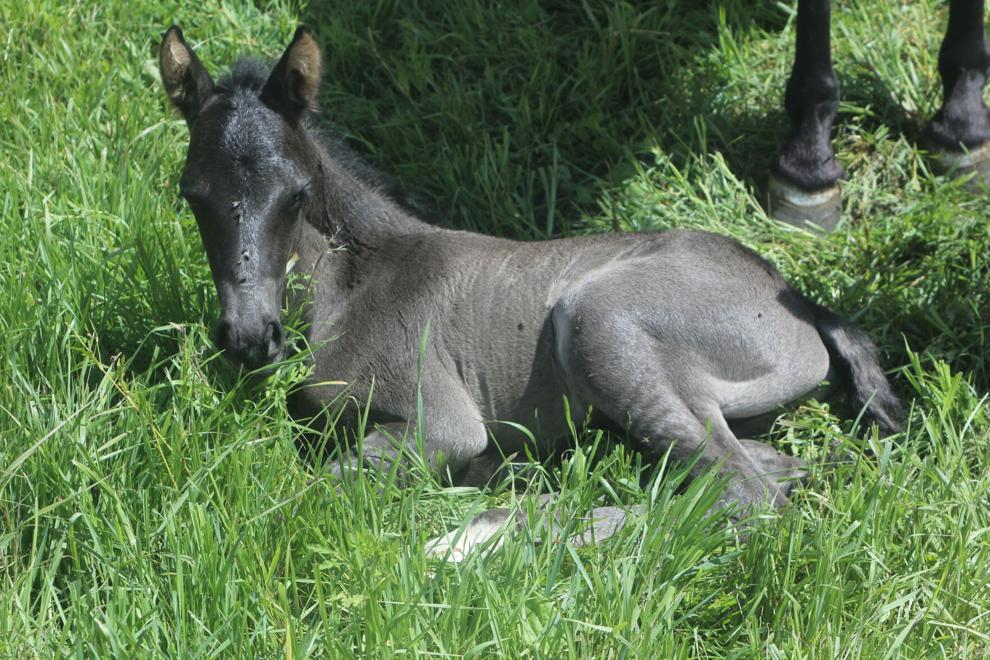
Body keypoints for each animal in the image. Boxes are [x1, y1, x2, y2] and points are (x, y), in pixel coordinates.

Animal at [158, 25, 903, 558]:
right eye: (192, 195)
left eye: (296, 195)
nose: (249, 337)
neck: (359, 283)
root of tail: (796, 297)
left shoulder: (442, 420)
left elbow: (306, 488)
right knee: (758, 471)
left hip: (600, 319)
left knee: (744, 497)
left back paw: (481, 538)